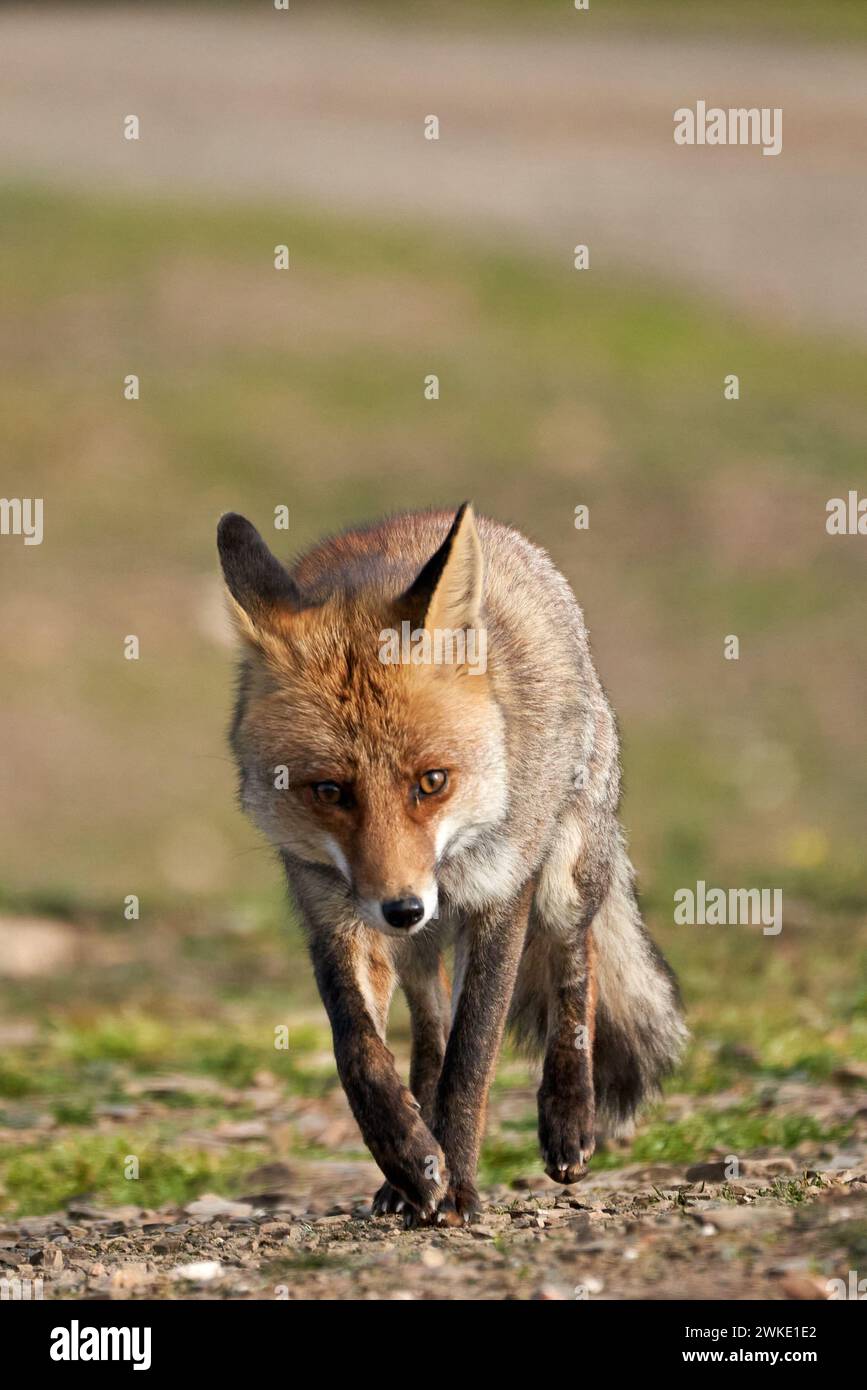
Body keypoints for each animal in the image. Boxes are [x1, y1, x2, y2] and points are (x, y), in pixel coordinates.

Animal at [217, 503, 686, 1225]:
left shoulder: (500, 896)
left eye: (431, 781)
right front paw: (411, 1159)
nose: (403, 907)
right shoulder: (333, 914)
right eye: (329, 791)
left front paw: (459, 1183)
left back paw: (568, 1116)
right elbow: (360, 1051)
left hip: (565, 876)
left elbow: (473, 1053)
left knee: (575, 963)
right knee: (430, 1027)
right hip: (418, 944)